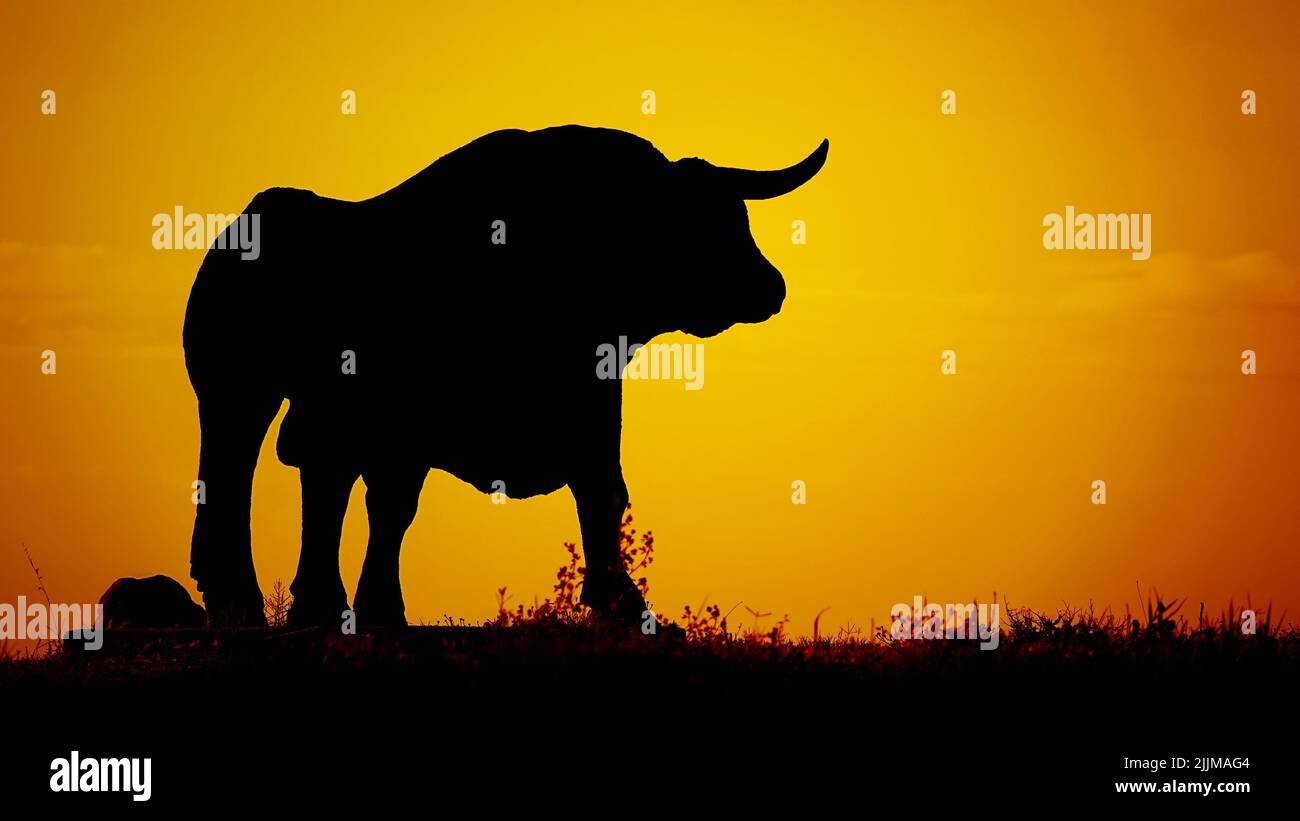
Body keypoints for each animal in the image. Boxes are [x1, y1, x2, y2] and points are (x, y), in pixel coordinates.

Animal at [183, 125, 828, 628]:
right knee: (235, 475)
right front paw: (625, 605)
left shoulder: (590, 396)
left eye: (738, 215)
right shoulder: (410, 423)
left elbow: (602, 490)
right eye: (700, 223)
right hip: (235, 394)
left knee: (320, 479)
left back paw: (309, 603)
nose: (771, 286)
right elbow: (397, 504)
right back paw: (239, 599)